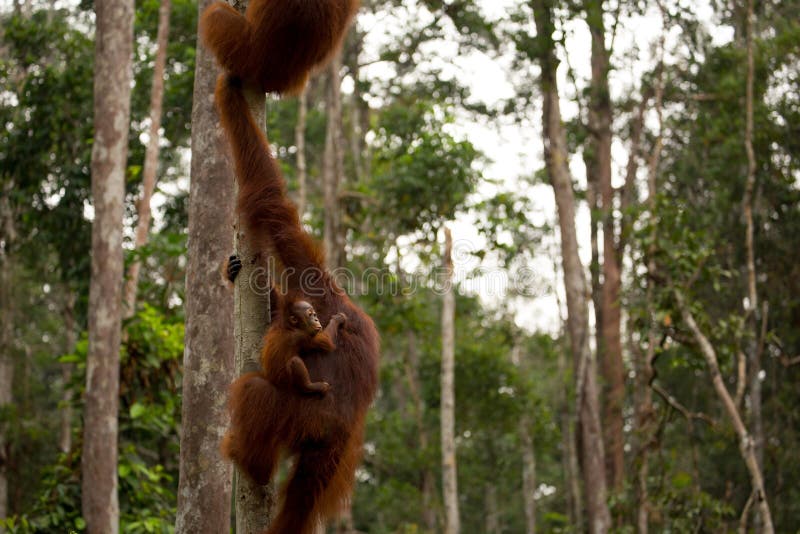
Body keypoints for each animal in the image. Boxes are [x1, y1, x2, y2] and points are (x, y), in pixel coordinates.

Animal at [215, 73, 379, 534]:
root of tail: (340, 435)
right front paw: (233, 271)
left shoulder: (313, 282)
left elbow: (272, 204)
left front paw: (230, 98)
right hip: (322, 448)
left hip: (305, 417)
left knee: (255, 391)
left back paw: (249, 463)